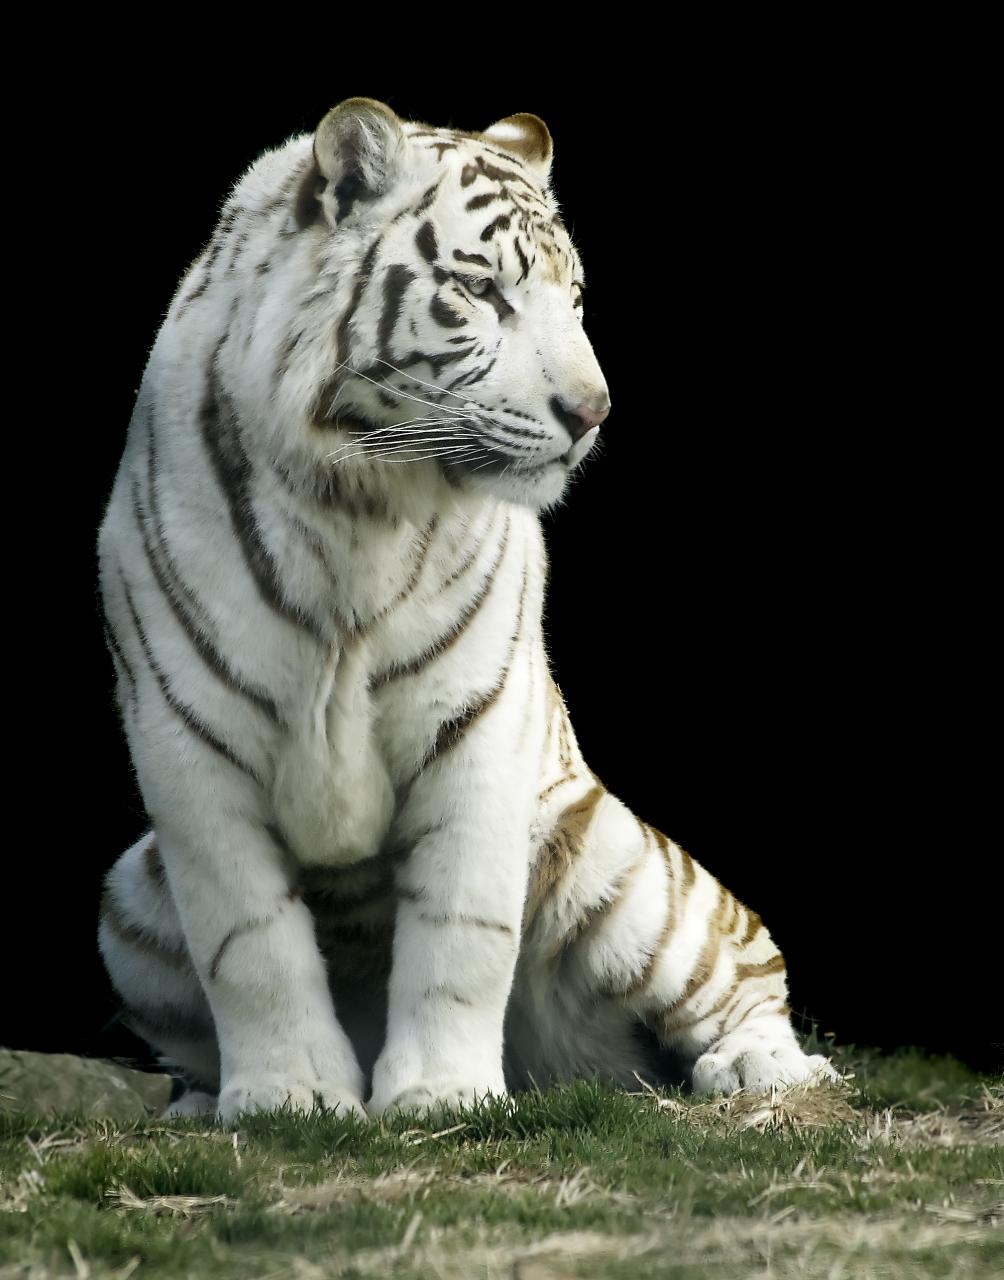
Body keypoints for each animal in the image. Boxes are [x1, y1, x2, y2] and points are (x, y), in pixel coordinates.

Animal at [97, 97, 835, 1119]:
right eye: (483, 292)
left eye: (574, 300)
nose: (593, 412)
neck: (354, 504)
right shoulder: (186, 739)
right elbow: (248, 943)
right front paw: (289, 1096)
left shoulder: (480, 722)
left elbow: (461, 932)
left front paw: (442, 1097)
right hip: (131, 900)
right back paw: (201, 1101)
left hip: (622, 866)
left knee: (748, 969)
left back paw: (761, 1069)